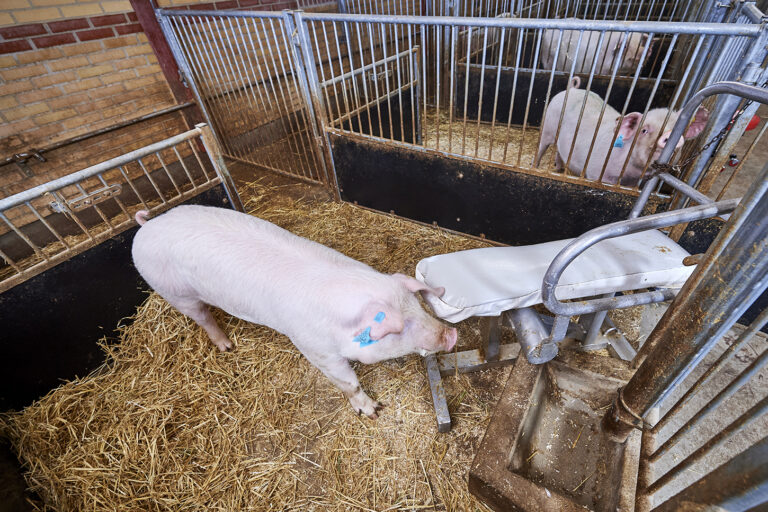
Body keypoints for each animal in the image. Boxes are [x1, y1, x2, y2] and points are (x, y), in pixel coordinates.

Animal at [131, 205, 457, 419]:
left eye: (417, 305)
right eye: (401, 327)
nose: (451, 334)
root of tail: (146, 227)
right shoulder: (314, 348)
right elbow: (348, 383)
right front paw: (373, 411)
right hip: (174, 293)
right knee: (203, 317)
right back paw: (226, 346)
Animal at [534, 77, 709, 186]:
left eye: (681, 132)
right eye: (644, 130)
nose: (667, 135)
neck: (629, 175)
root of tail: (571, 89)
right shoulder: (596, 172)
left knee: (559, 150)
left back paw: (558, 169)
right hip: (548, 126)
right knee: (542, 146)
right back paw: (535, 166)